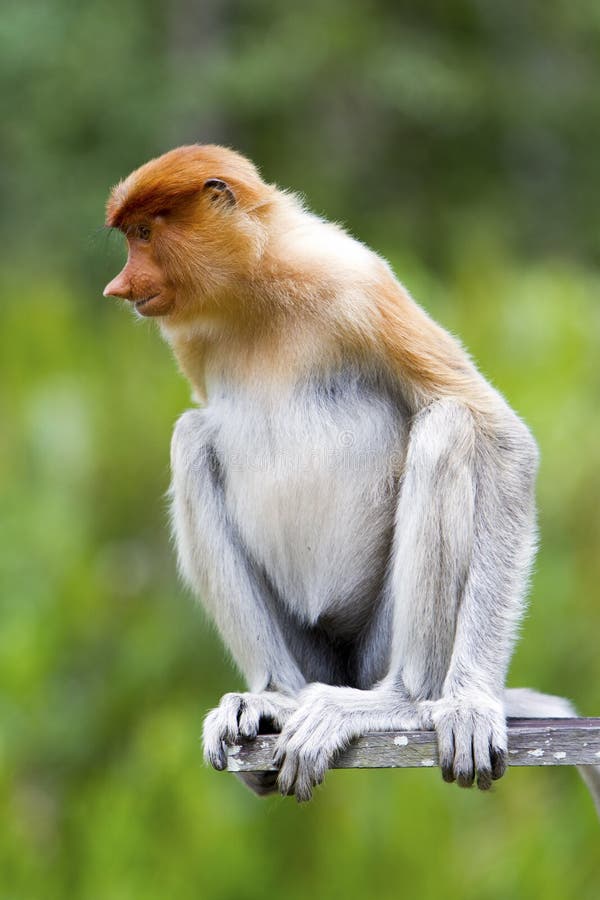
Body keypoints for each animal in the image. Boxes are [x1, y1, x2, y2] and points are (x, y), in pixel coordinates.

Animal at [103, 144, 600, 809]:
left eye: (143, 233)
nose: (119, 286)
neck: (253, 292)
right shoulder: (190, 339)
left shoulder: (356, 284)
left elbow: (502, 439)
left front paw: (471, 704)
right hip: (313, 653)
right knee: (191, 440)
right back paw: (274, 698)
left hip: (375, 648)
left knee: (446, 427)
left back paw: (401, 700)